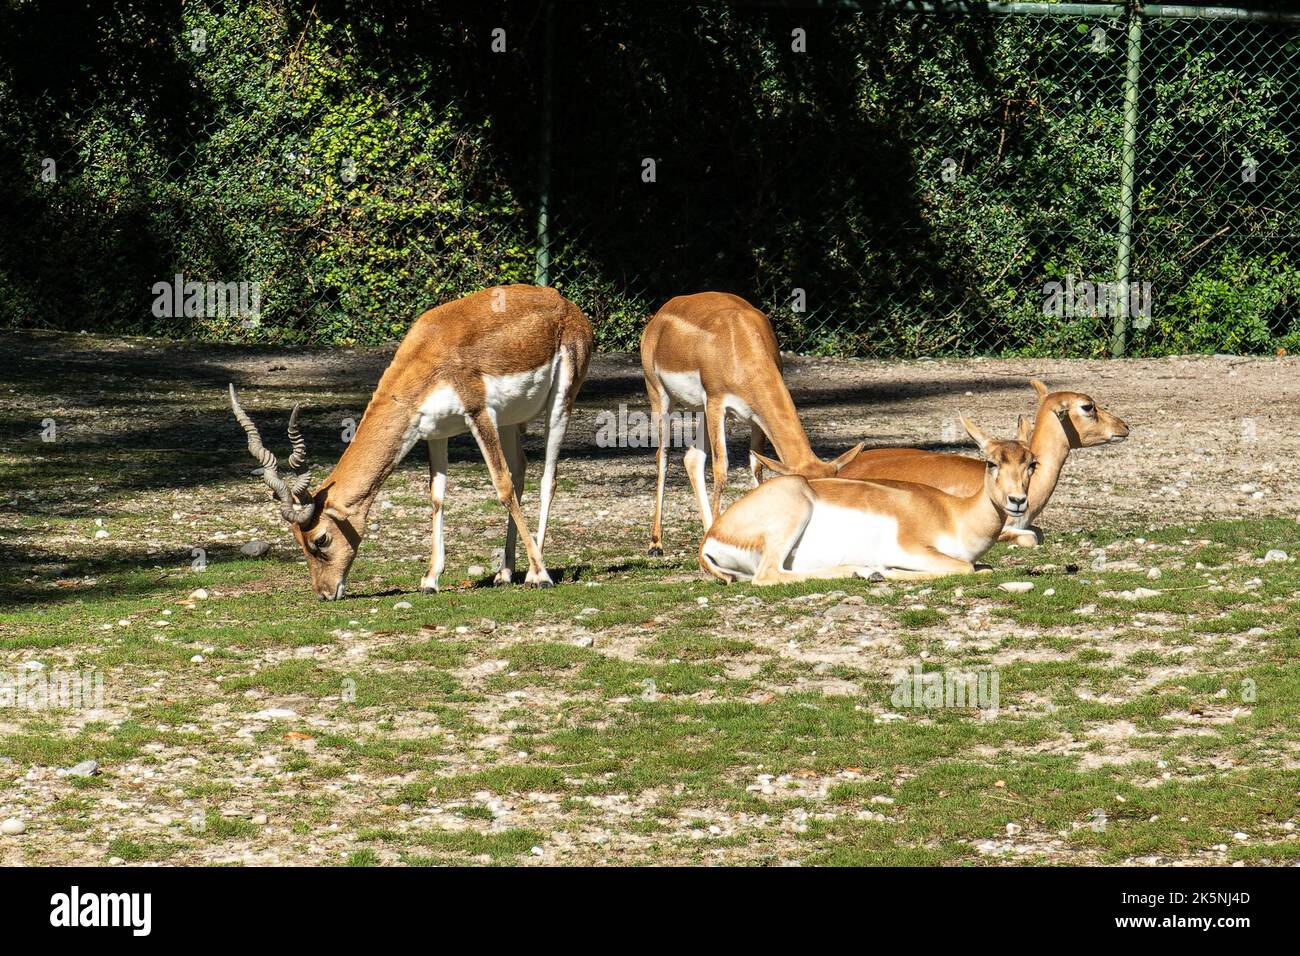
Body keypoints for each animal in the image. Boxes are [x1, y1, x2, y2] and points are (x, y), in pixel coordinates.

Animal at [228, 285, 592, 600]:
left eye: (321, 538)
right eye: (297, 541)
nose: (324, 593)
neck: (430, 350)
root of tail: (567, 305)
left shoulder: (478, 412)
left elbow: (500, 487)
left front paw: (541, 575)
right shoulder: (435, 432)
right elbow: (437, 497)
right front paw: (430, 580)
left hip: (559, 403)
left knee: (546, 479)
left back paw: (535, 573)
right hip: (510, 420)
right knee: (520, 471)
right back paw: (504, 573)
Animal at [640, 292, 863, 554]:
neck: (739, 344)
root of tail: (661, 313)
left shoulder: (756, 418)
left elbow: (756, 467)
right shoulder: (716, 404)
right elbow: (721, 469)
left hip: (702, 412)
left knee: (692, 458)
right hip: (661, 397)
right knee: (662, 456)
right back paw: (656, 543)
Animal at [699, 418, 1034, 585]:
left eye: (1032, 463)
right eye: (992, 462)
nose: (1018, 500)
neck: (954, 514)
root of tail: (710, 538)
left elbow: (982, 568)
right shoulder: (910, 548)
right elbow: (966, 568)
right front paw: (885, 572)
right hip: (793, 508)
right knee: (767, 576)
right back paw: (860, 571)